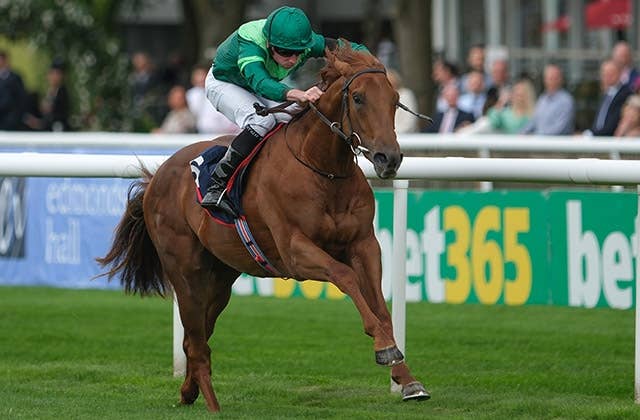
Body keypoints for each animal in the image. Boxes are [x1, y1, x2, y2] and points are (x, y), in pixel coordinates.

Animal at [98, 44, 429, 412]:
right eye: (357, 98)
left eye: (395, 99)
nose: (389, 159)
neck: (322, 169)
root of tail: (157, 176)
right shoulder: (295, 251)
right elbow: (345, 276)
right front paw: (384, 349)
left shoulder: (364, 244)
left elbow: (381, 307)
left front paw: (407, 378)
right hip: (185, 270)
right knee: (195, 342)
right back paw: (212, 404)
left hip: (220, 276)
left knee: (196, 337)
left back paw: (188, 391)